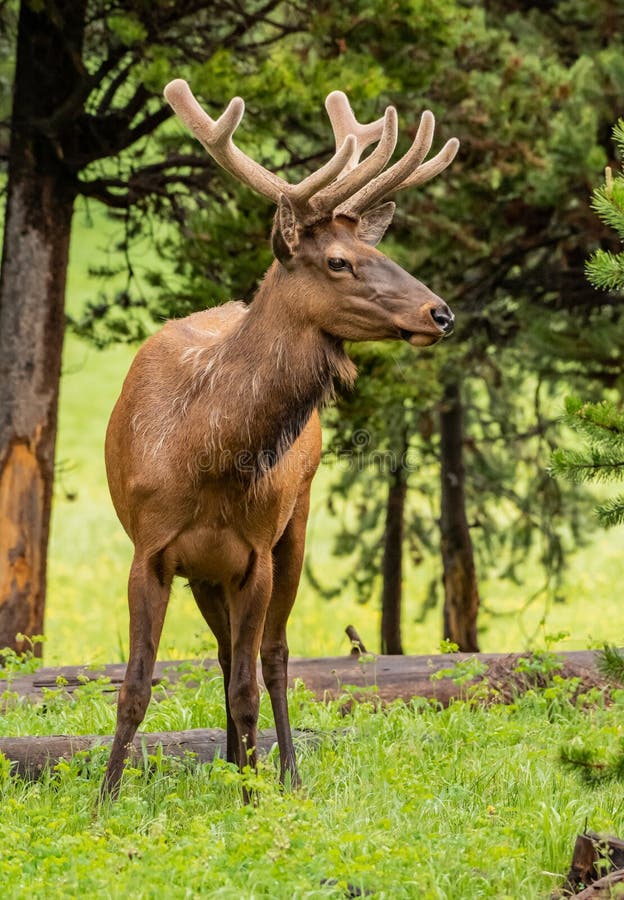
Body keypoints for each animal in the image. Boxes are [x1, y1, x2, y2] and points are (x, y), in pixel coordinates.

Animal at [100, 78, 459, 801]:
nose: (440, 313)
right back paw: (234, 761)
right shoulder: (149, 550)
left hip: (294, 524)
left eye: (385, 253)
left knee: (272, 658)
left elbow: (251, 682)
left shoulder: (254, 554)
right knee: (223, 653)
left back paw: (280, 771)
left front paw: (254, 796)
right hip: (207, 574)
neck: (204, 459)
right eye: (340, 261)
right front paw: (105, 798)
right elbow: (134, 686)